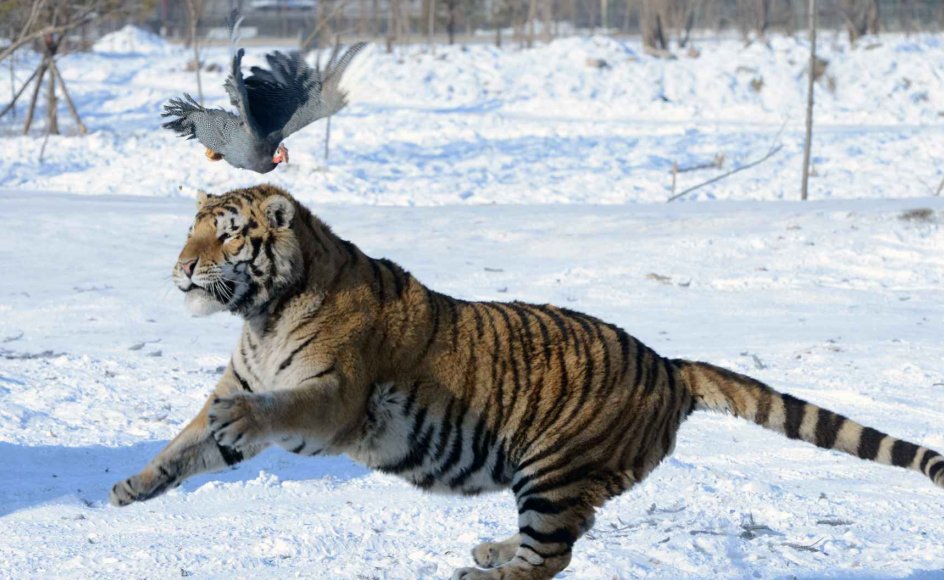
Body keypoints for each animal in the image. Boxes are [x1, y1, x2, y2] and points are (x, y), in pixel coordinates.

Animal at [110, 184, 944, 579]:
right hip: (548, 476)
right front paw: (131, 487)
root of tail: (668, 366)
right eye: (191, 230)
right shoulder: (227, 388)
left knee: (554, 557)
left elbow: (273, 408)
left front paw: (244, 423)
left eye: (226, 235)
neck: (261, 313)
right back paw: (489, 552)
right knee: (559, 545)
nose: (181, 268)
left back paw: (480, 573)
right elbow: (184, 445)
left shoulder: (334, 399)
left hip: (555, 468)